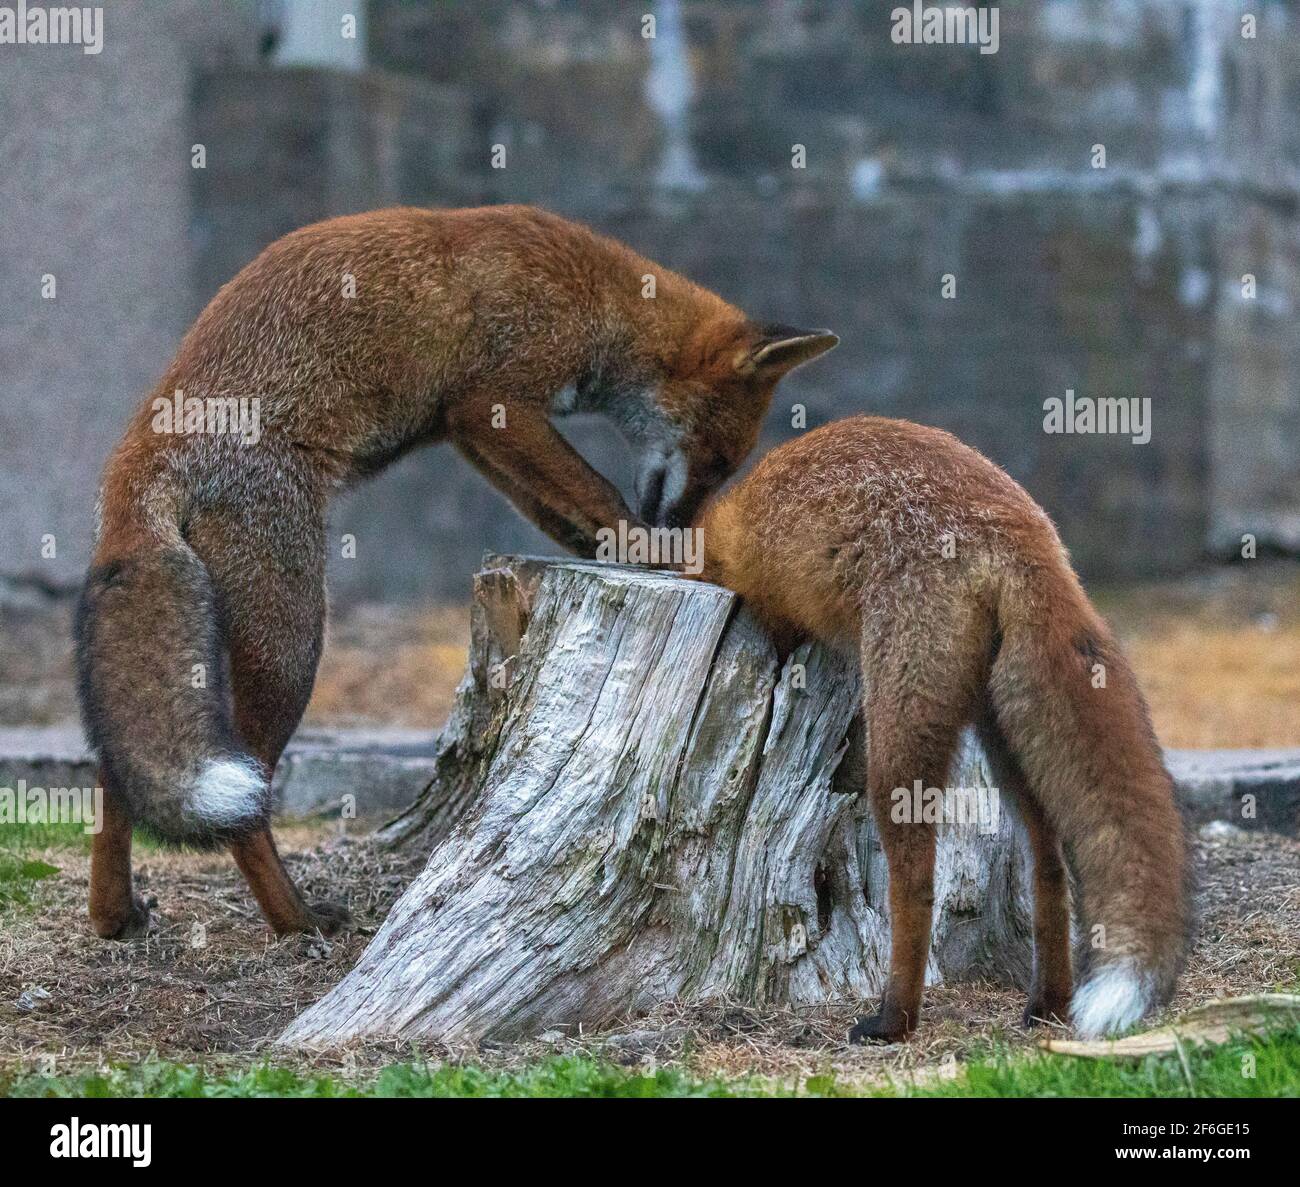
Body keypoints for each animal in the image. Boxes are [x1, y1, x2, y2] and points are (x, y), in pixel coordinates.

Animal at [75, 204, 837, 941]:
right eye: (717, 459)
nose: (683, 524)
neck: (598, 297)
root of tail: (136, 452)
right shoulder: (494, 400)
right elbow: (596, 491)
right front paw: (653, 549)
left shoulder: (471, 430)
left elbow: (564, 513)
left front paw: (624, 550)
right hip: (292, 642)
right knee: (244, 804)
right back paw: (296, 920)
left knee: (118, 771)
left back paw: (116, 915)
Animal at [693, 416, 1192, 1040]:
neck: (730, 517)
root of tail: (1021, 528)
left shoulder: (769, 602)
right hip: (1007, 745)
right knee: (1050, 867)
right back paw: (1046, 1004)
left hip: (900, 741)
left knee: (916, 883)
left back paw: (894, 1019)